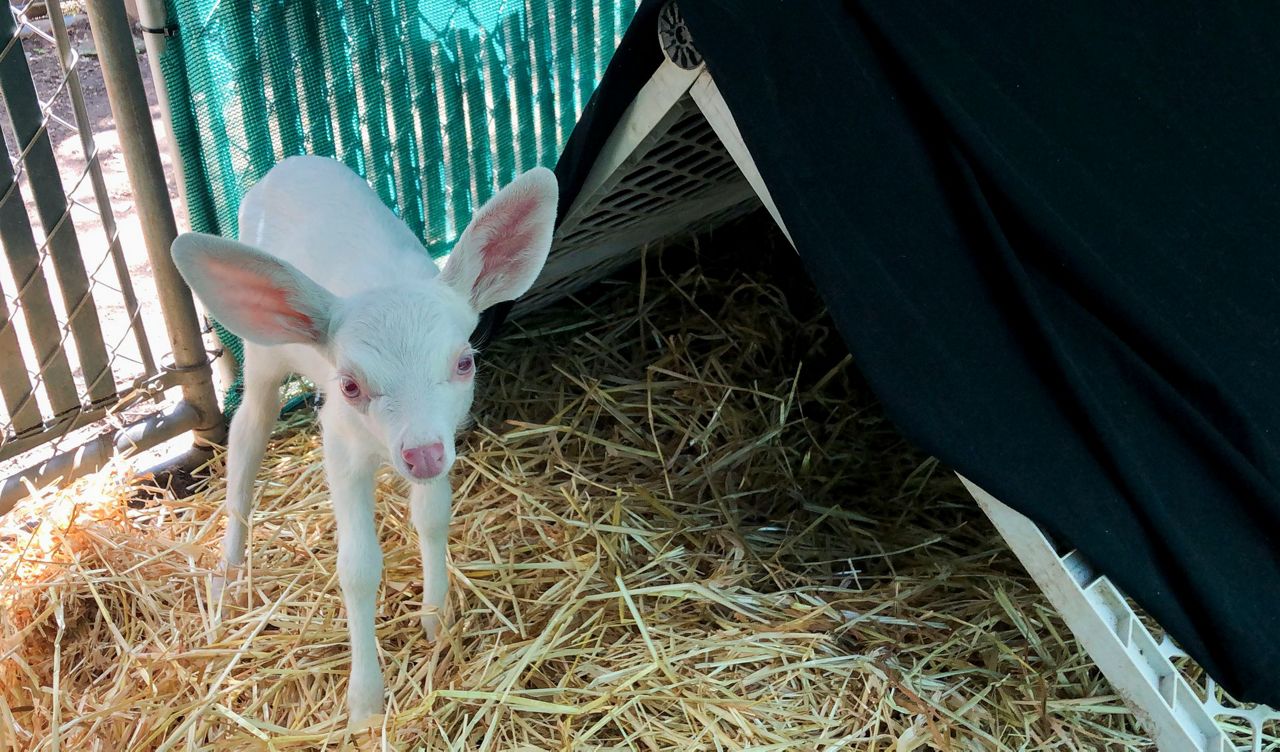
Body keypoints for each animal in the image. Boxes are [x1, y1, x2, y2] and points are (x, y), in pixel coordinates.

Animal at [170, 155, 558, 724]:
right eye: (350, 385)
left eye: (465, 362)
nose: (421, 456)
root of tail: (290, 161)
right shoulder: (340, 442)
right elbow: (357, 567)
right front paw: (365, 702)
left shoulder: (439, 436)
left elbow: (432, 518)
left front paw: (436, 617)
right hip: (262, 356)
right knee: (246, 437)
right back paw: (228, 572)